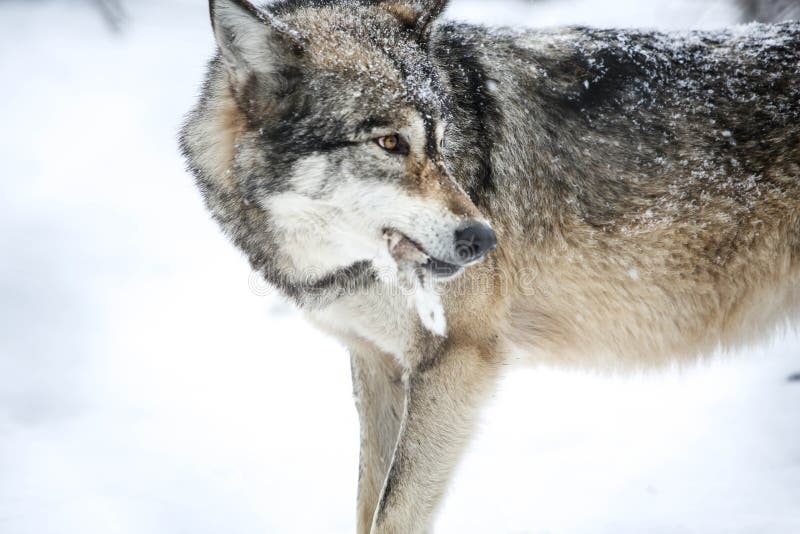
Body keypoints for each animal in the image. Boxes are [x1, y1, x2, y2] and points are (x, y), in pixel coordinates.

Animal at [180, 0, 800, 531]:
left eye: (439, 139)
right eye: (388, 142)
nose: (483, 240)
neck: (341, 265)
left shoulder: (458, 360)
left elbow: (392, 514)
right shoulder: (377, 363)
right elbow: (366, 504)